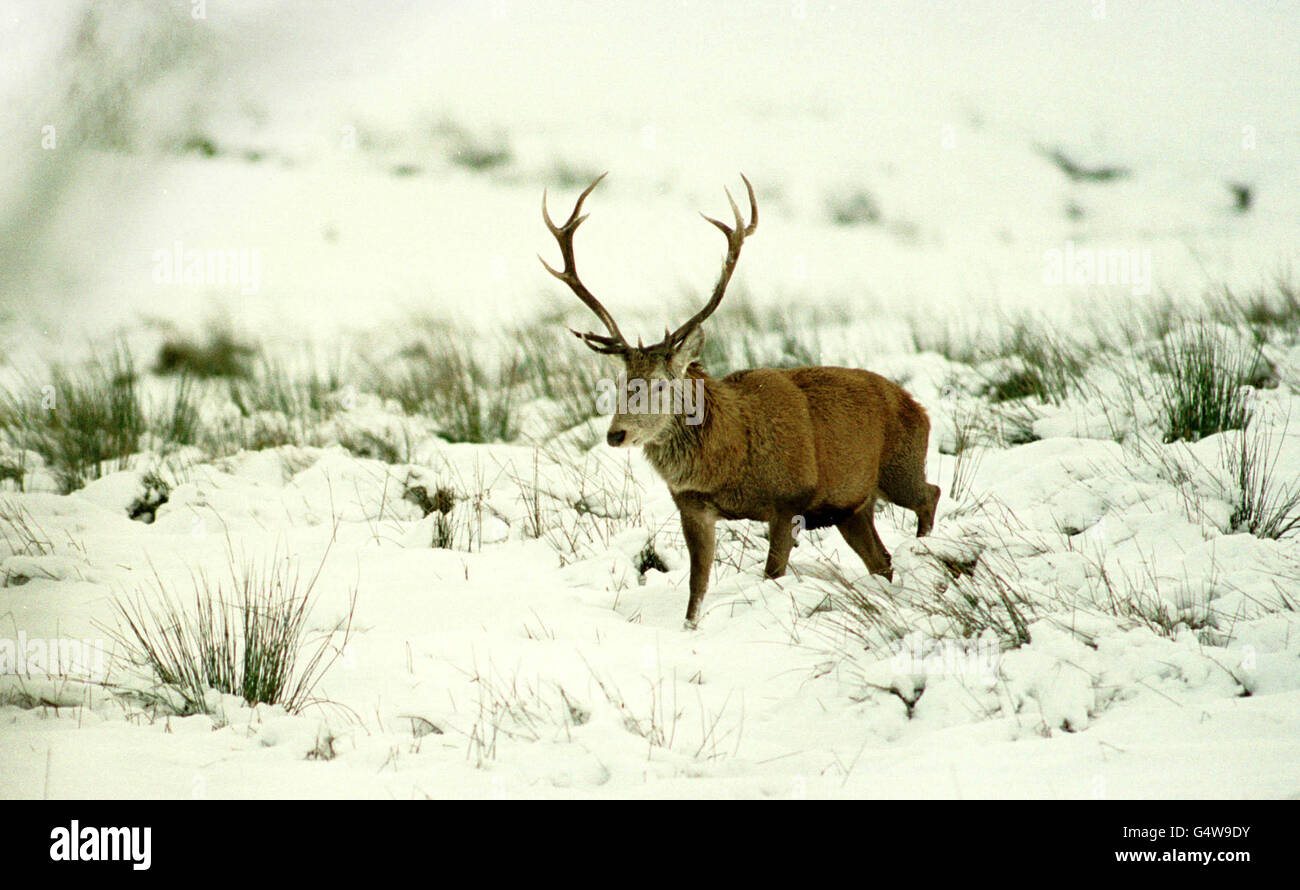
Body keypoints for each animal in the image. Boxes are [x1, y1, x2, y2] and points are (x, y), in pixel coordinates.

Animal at [540, 174, 940, 629]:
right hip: (852, 506)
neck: (730, 461)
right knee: (881, 560)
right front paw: (690, 629)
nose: (616, 434)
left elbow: (772, 573)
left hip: (899, 466)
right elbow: (697, 588)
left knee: (930, 494)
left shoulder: (790, 498)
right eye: (623, 381)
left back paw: (924, 552)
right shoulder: (692, 506)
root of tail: (917, 407)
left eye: (659, 384)